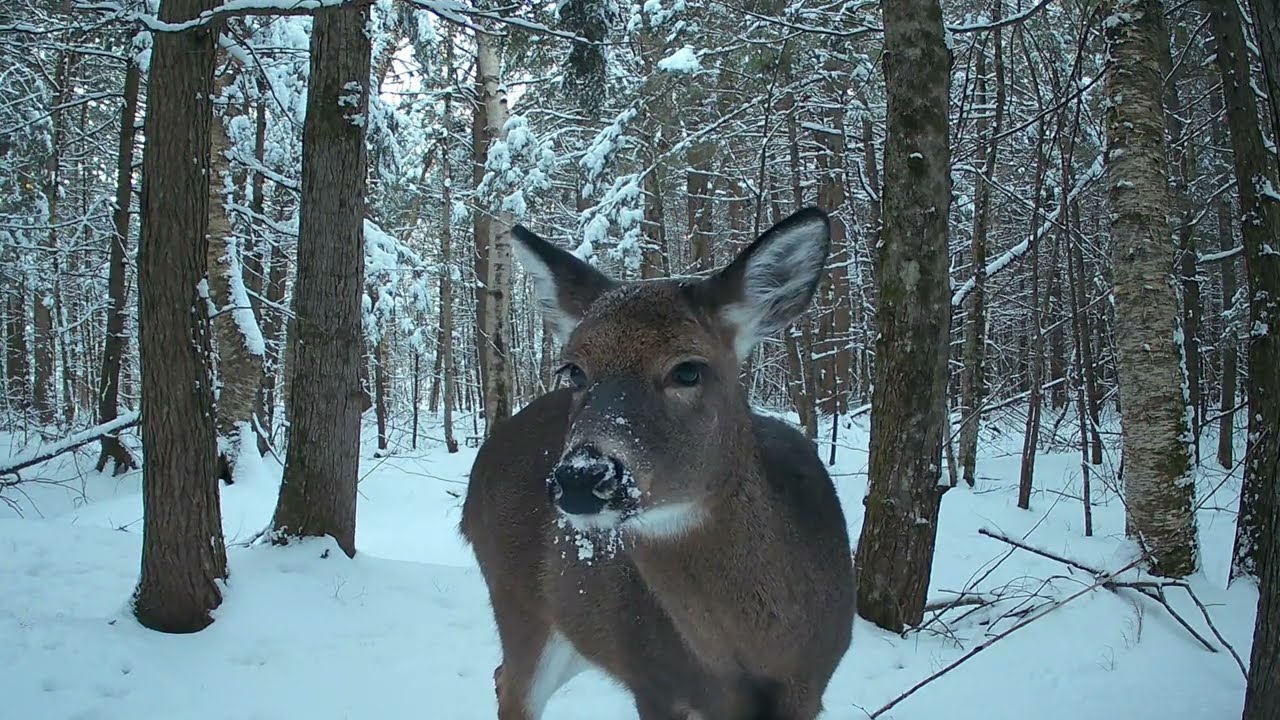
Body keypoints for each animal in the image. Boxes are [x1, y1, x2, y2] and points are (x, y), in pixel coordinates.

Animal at [460, 206, 856, 720]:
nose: (582, 476)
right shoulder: (650, 680)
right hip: (518, 601)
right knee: (511, 685)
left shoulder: (812, 687)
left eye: (687, 370)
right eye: (573, 370)